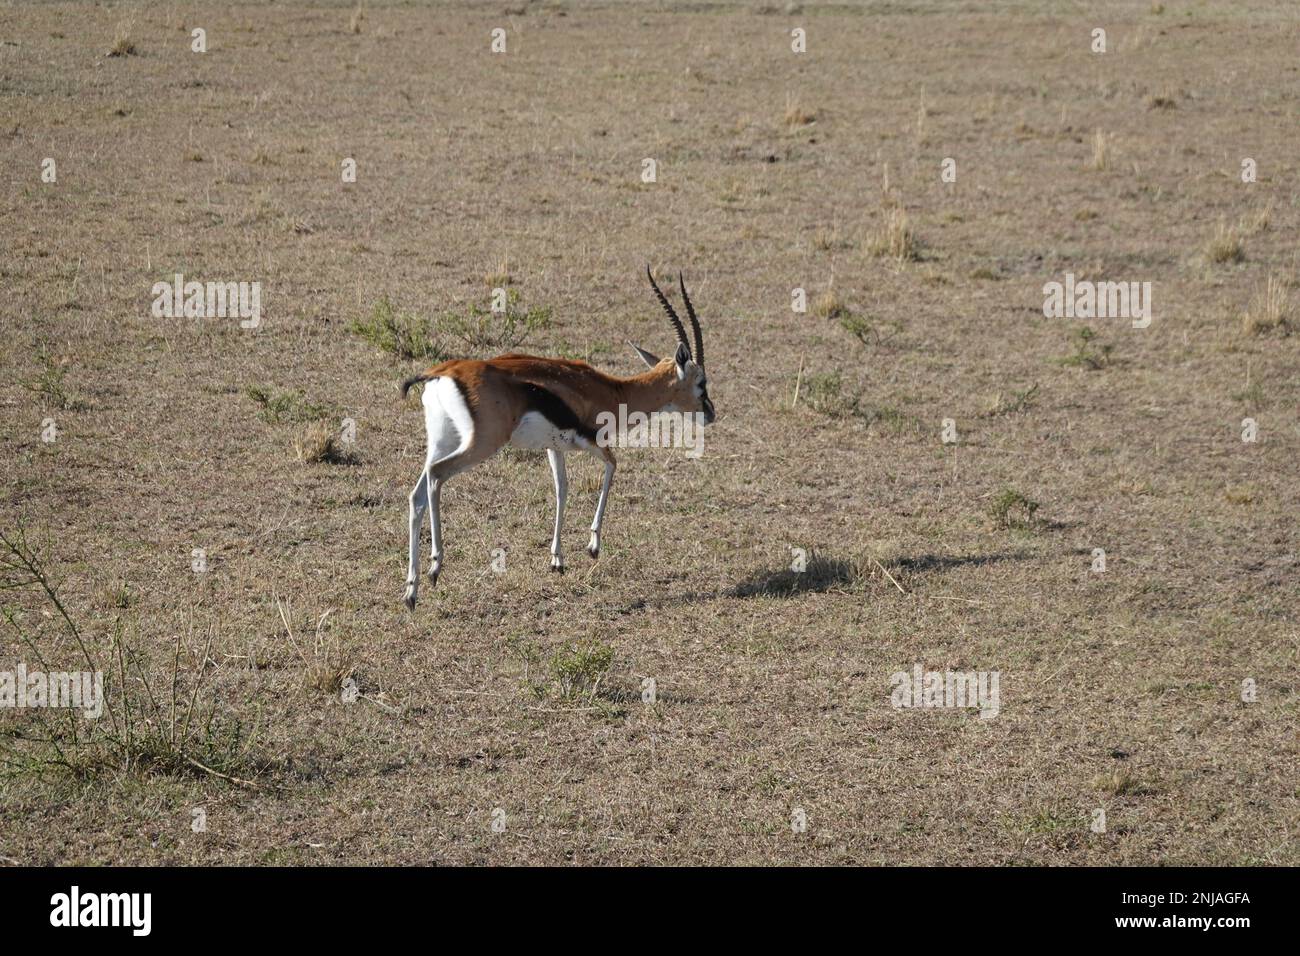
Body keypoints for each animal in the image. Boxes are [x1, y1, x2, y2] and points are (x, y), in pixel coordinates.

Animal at [399, 267, 716, 609]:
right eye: (701, 382)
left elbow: (562, 489)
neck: (614, 391)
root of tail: (443, 372)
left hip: (443, 440)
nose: (710, 413)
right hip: (480, 444)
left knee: (416, 494)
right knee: (436, 475)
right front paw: (592, 547)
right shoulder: (594, 443)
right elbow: (612, 468)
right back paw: (435, 567)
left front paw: (557, 559)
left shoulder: (554, 447)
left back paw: (411, 591)